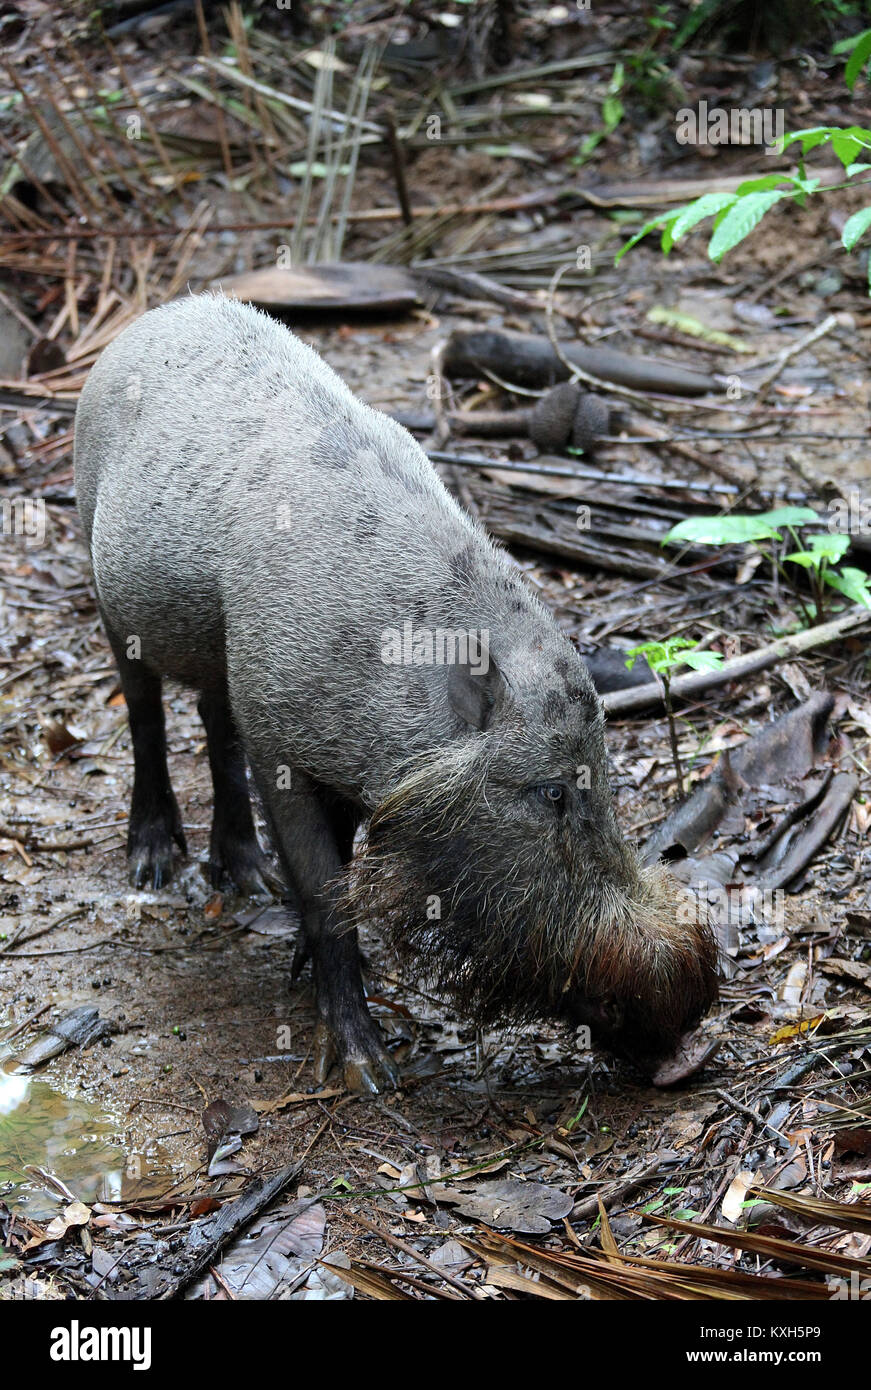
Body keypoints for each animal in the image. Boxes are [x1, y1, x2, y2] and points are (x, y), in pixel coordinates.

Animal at [74, 294, 717, 1093]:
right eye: (551, 792)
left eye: (605, 772)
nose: (687, 1043)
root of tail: (149, 319)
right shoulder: (283, 746)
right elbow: (325, 897)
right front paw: (368, 1071)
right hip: (106, 588)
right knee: (146, 713)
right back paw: (157, 864)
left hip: (220, 658)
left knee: (211, 720)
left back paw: (251, 881)